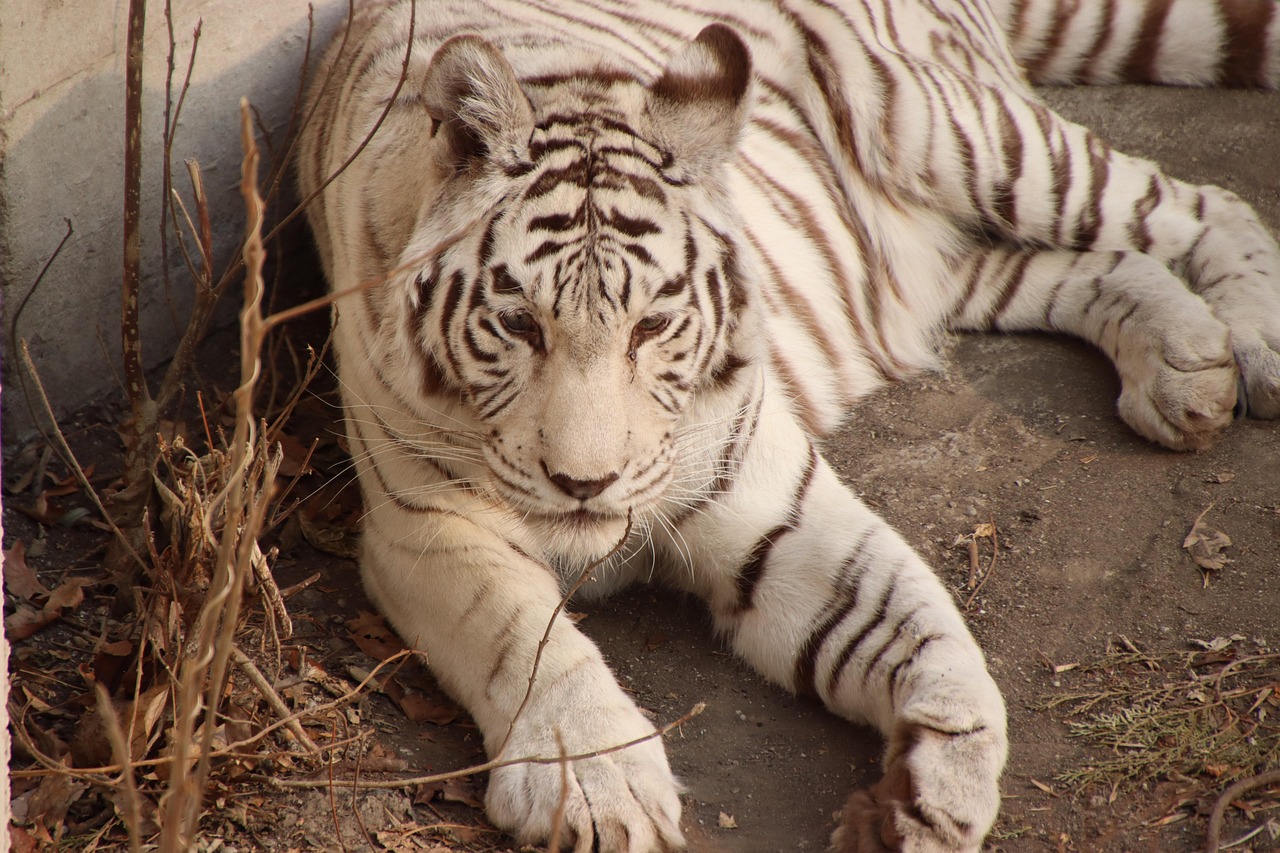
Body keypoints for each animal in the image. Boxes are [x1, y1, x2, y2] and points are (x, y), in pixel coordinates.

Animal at [296, 0, 1280, 850]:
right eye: (518, 324)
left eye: (653, 324)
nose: (585, 483)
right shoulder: (422, 521)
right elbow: (520, 629)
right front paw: (604, 788)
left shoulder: (774, 499)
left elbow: (923, 625)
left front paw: (941, 792)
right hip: (943, 261)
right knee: (1092, 262)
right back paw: (1183, 361)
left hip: (964, 135)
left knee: (1199, 205)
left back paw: (1248, 348)